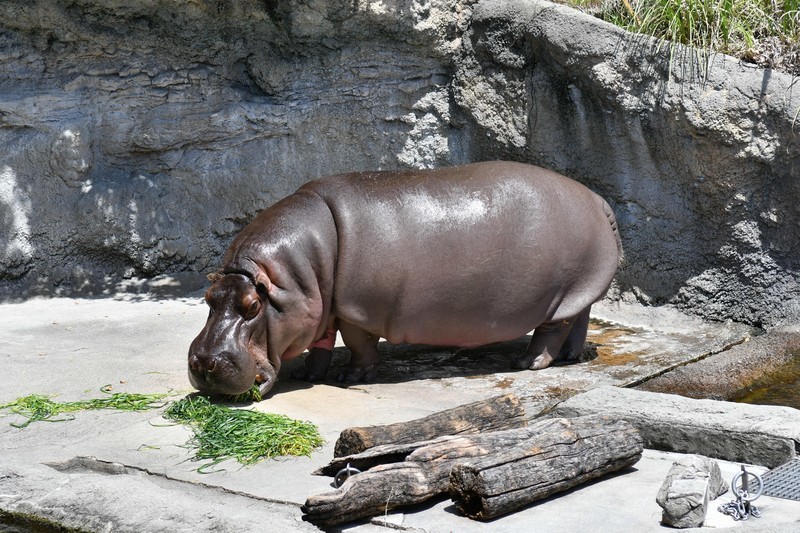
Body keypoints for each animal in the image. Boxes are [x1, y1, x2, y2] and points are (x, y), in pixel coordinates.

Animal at [188, 161, 622, 397]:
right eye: (208, 298)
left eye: (252, 306)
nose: (204, 363)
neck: (299, 273)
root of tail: (598, 199)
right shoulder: (320, 304)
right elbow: (322, 339)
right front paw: (310, 373)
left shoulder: (354, 309)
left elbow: (358, 342)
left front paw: (350, 377)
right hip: (579, 291)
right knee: (580, 318)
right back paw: (570, 357)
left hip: (562, 293)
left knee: (553, 328)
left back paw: (528, 363)